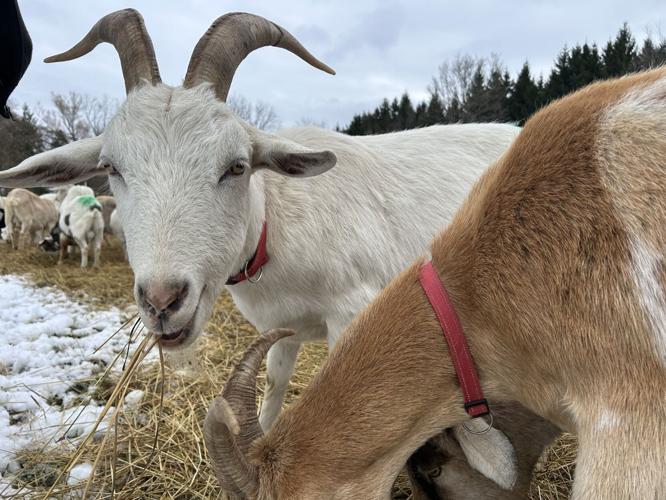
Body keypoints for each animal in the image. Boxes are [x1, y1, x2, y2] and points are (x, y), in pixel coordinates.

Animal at [0, 10, 519, 441]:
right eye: (111, 167)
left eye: (237, 166)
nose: (163, 301)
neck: (277, 223)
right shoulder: (281, 324)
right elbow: (273, 381)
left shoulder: (353, 311)